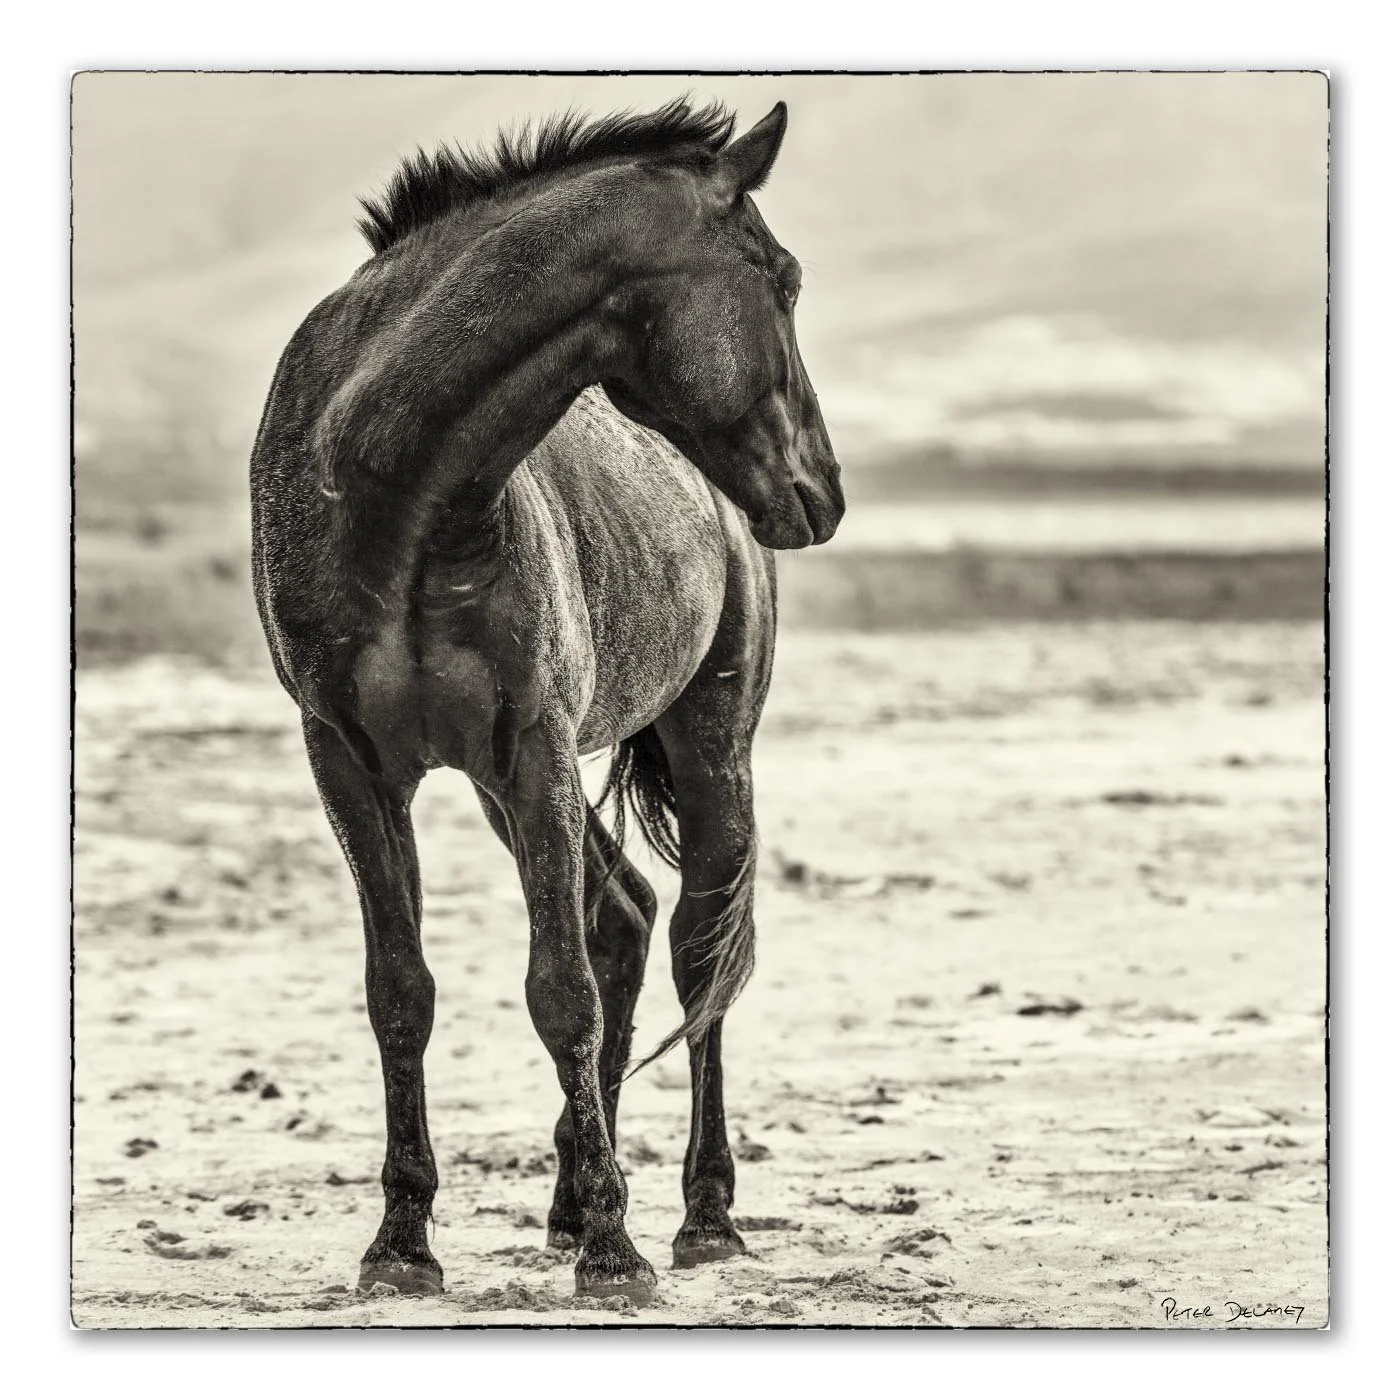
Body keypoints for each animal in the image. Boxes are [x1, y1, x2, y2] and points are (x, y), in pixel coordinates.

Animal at [249, 96, 844, 1304]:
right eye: (785, 279)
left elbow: (558, 988)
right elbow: (401, 991)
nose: (824, 489)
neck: (393, 484)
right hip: (508, 781)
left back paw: (701, 1219)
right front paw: (401, 1243)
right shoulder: (351, 760)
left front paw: (617, 1253)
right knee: (626, 915)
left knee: (698, 951)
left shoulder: (532, 746)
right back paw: (570, 1201)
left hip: (706, 750)